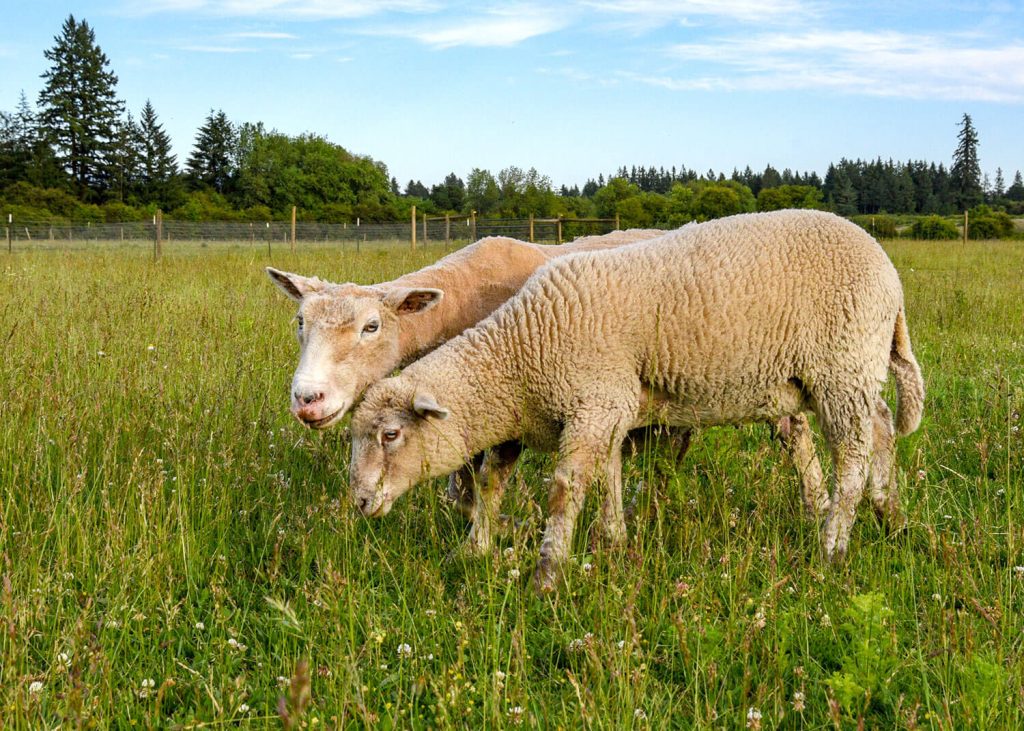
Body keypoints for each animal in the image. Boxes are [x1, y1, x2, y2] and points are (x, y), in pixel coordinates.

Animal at [348, 210, 924, 591]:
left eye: (390, 434)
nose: (358, 503)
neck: (518, 356)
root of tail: (889, 273)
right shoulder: (606, 409)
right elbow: (586, 477)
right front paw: (608, 540)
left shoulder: (593, 404)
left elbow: (564, 491)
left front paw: (547, 575)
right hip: (850, 368)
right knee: (882, 427)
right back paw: (890, 514)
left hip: (840, 363)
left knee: (852, 453)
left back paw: (832, 546)